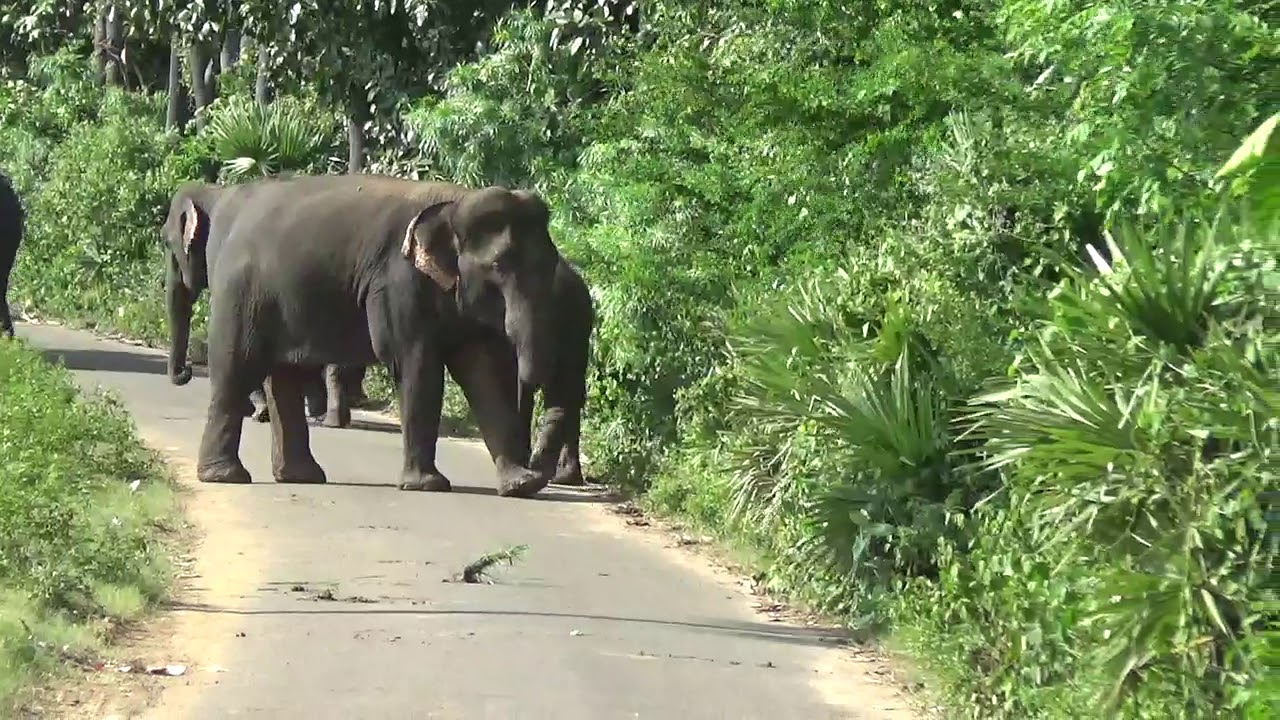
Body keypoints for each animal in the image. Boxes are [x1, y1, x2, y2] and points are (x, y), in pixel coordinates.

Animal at [162, 173, 560, 497]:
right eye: (498, 266)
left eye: (552, 264)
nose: (183, 373)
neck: (458, 202)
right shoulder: (399, 283)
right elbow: (417, 366)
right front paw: (427, 486)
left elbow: (485, 374)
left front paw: (522, 486)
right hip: (242, 296)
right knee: (236, 368)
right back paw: (226, 477)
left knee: (284, 378)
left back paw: (301, 477)